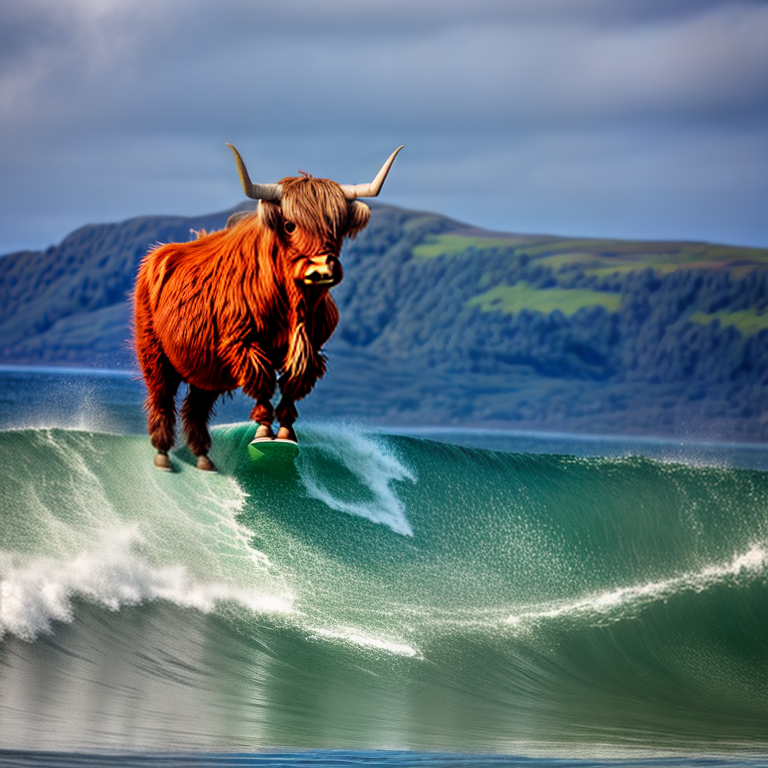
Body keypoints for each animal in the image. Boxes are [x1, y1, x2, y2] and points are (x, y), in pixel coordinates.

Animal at [133, 144, 403, 471]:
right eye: (289, 225)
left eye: (337, 228)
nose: (321, 269)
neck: (294, 306)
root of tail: (156, 255)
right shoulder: (241, 343)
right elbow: (260, 380)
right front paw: (263, 433)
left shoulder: (312, 348)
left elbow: (294, 384)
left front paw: (285, 434)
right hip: (153, 350)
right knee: (161, 395)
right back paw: (162, 452)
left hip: (206, 368)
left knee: (196, 406)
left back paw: (203, 457)